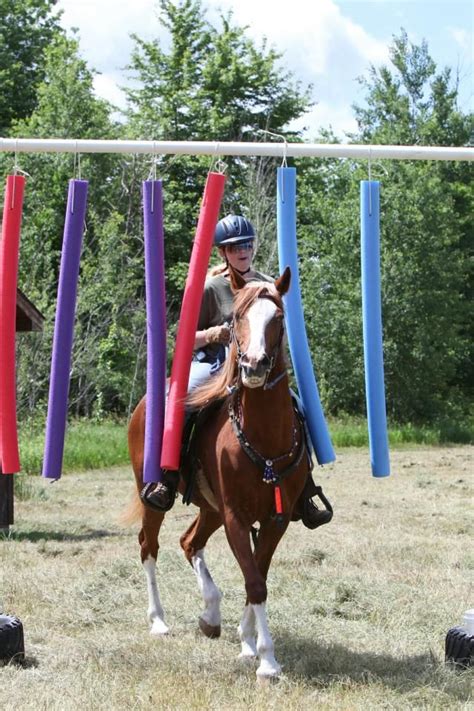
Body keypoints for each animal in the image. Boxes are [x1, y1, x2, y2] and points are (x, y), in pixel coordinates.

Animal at [127, 266, 310, 679]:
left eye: (278, 319)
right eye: (237, 317)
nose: (254, 366)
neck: (264, 438)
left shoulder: (275, 520)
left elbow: (257, 576)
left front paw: (249, 644)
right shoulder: (236, 518)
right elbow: (255, 583)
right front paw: (268, 661)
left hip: (209, 508)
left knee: (189, 542)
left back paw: (210, 614)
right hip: (157, 497)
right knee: (149, 546)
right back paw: (158, 621)